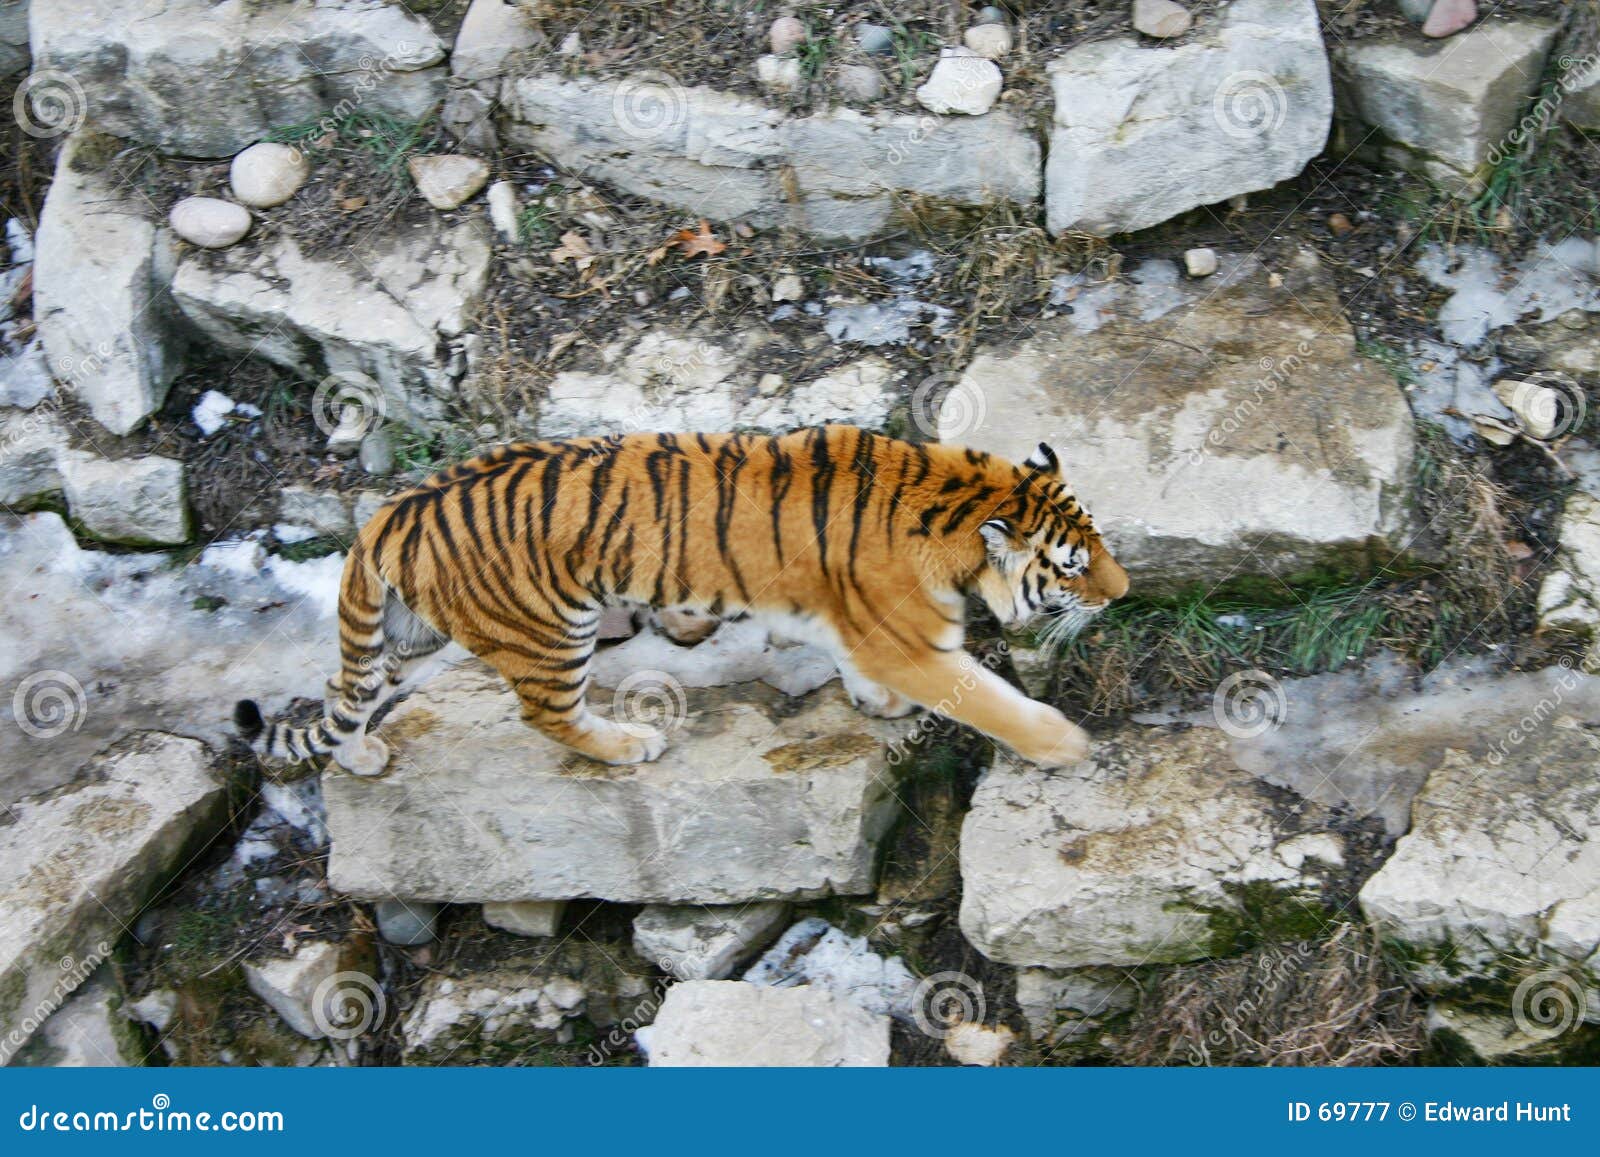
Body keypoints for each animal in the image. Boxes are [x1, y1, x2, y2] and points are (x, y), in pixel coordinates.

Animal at [235, 425, 1129, 775]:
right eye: (1074, 565)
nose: (1124, 592)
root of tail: (392, 511)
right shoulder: (909, 641)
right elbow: (988, 698)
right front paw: (1065, 744)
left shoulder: (851, 623)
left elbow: (852, 659)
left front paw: (875, 705)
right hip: (549, 629)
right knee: (546, 713)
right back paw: (630, 744)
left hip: (414, 636)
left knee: (344, 691)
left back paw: (358, 757)